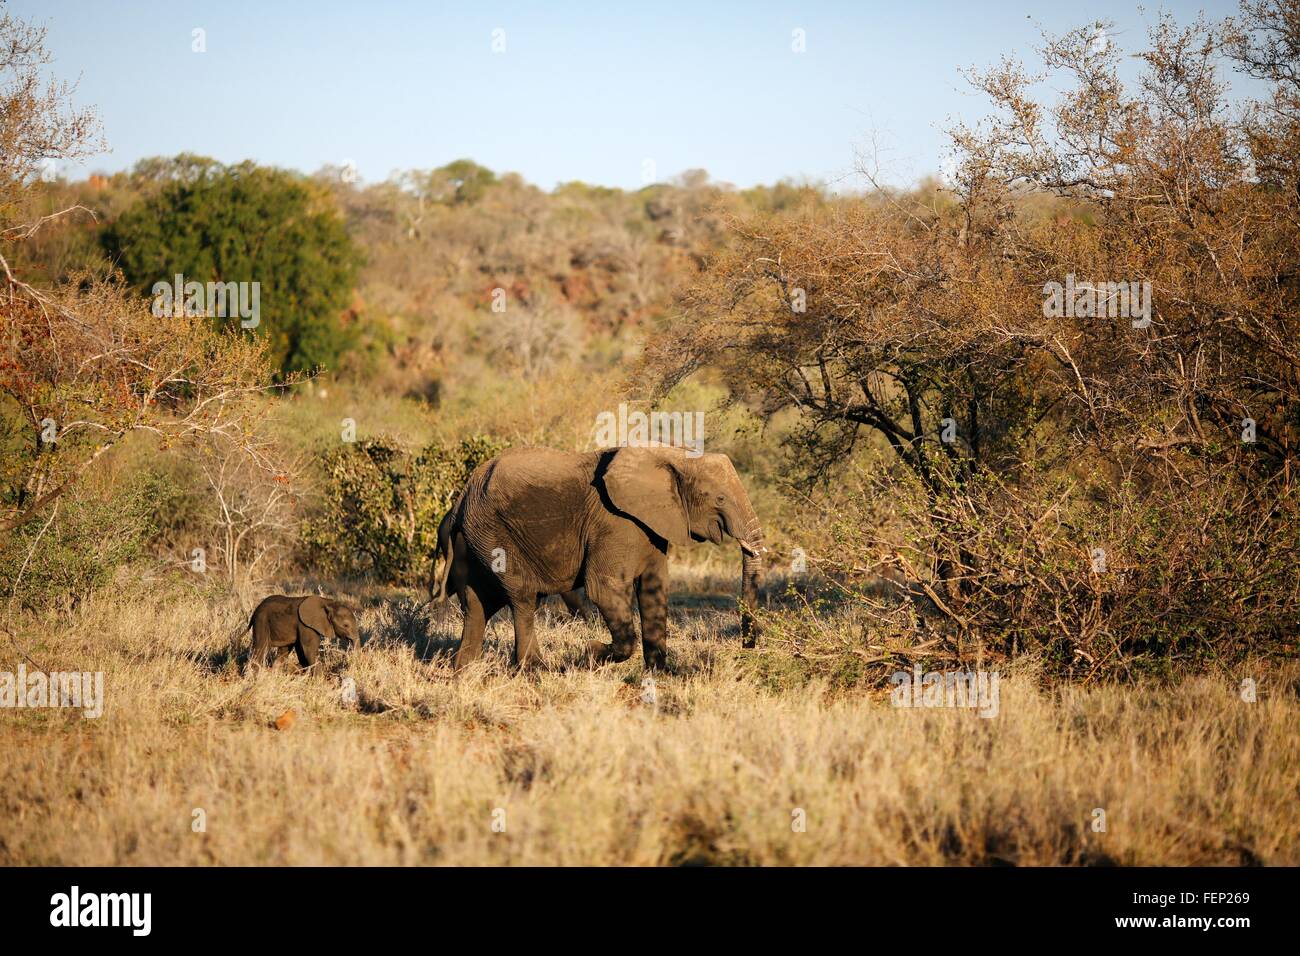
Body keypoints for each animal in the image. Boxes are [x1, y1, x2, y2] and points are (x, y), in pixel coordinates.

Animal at [436, 444, 765, 670]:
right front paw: (590, 652)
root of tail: (462, 497)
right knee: (523, 597)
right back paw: (535, 670)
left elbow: (654, 589)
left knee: (477, 604)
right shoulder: (615, 523)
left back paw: (463, 671)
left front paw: (658, 675)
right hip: (494, 533)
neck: (672, 454)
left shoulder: (650, 525)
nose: (747, 647)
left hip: (476, 538)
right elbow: (603, 587)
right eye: (719, 498)